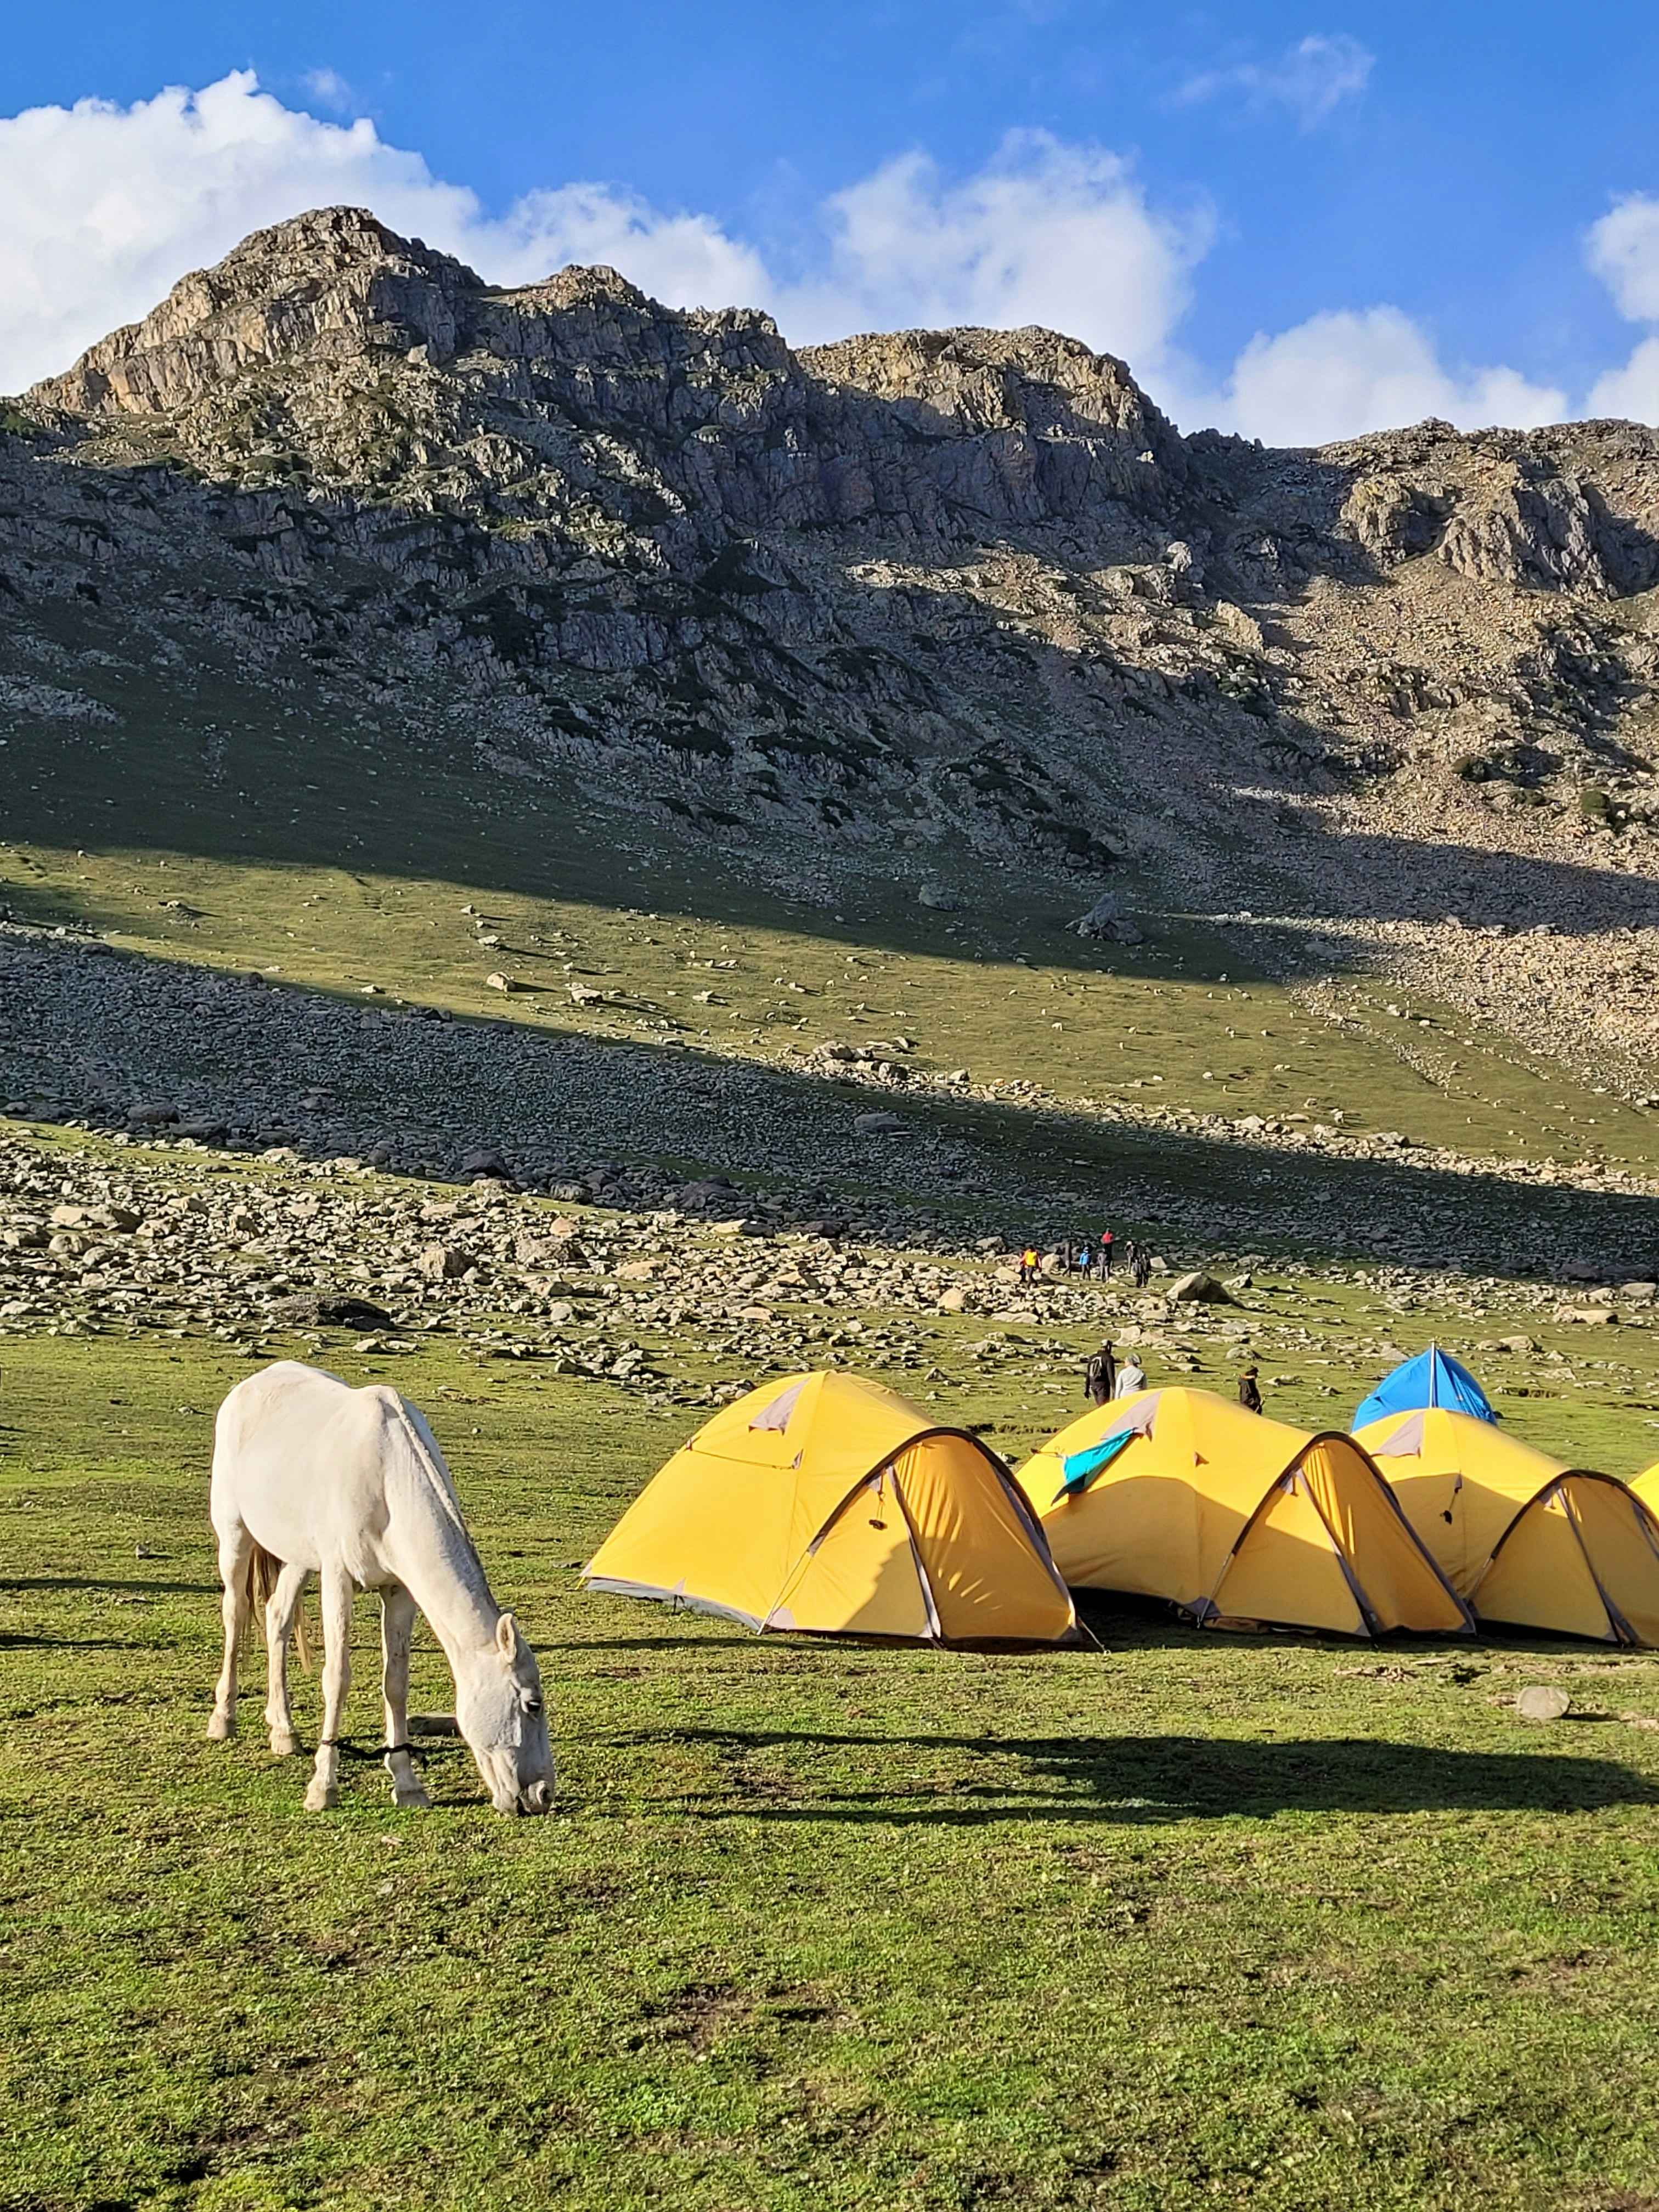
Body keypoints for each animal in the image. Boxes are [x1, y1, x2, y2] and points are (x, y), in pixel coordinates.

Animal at [206, 1361, 554, 1816]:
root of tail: (249, 1386)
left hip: (299, 1558)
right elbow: (337, 1677)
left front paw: (408, 1785)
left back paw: (283, 1731)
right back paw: (223, 1719)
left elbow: (396, 1682)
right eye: (532, 1704)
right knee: (235, 1614)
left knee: (277, 1619)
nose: (544, 1794)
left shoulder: (400, 1591)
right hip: (235, 1537)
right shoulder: (338, 1580)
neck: (387, 1477)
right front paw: (323, 1787)